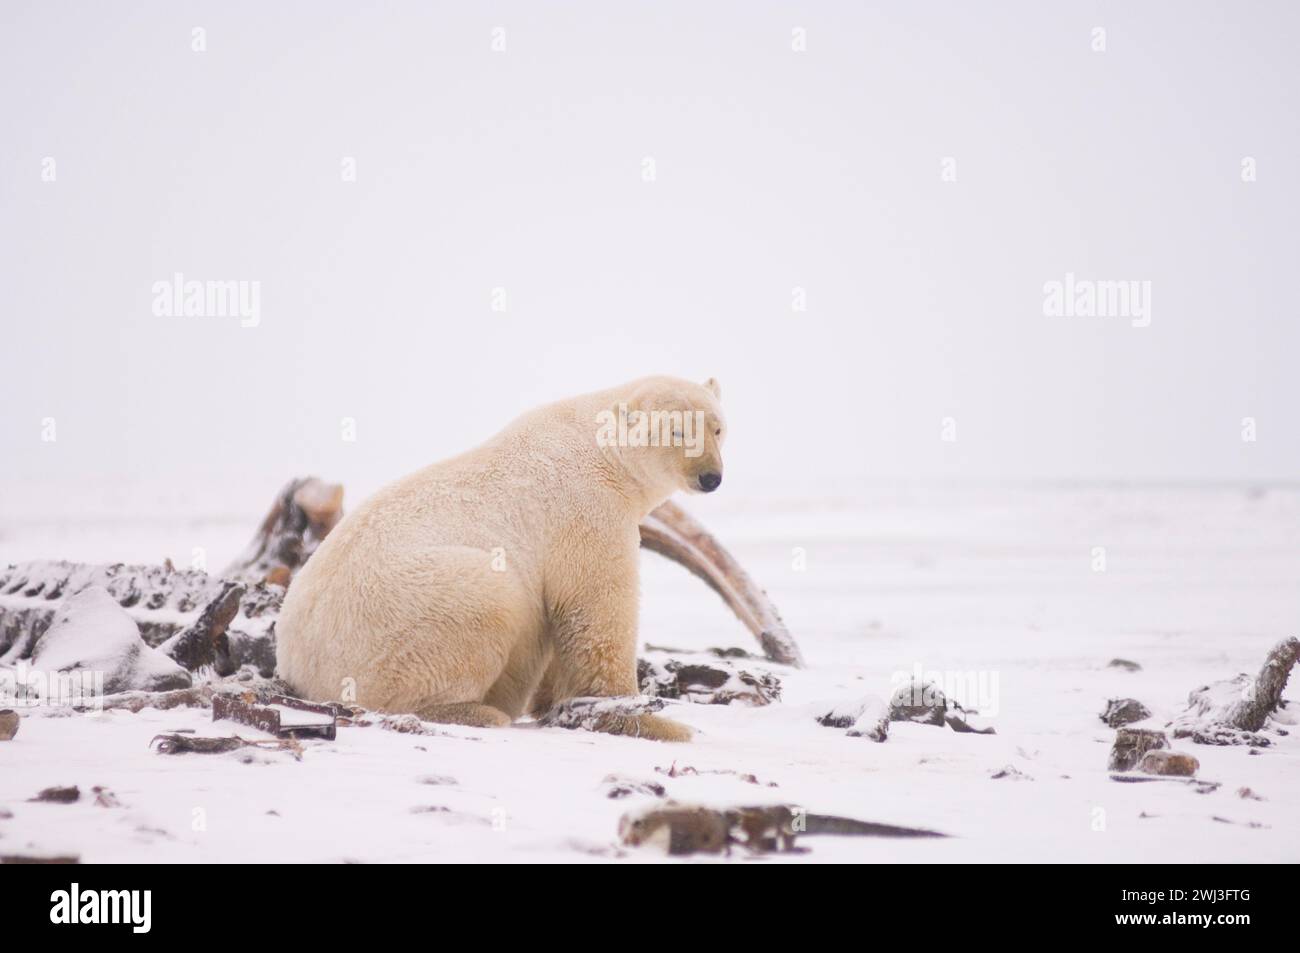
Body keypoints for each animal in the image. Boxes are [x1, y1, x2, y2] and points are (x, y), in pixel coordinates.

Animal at [274, 375, 726, 742]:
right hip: (398, 615)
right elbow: (598, 609)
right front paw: (653, 721)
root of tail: (297, 665)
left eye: (718, 428)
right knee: (490, 599)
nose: (711, 477)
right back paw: (477, 712)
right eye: (677, 431)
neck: (600, 449)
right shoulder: (586, 510)